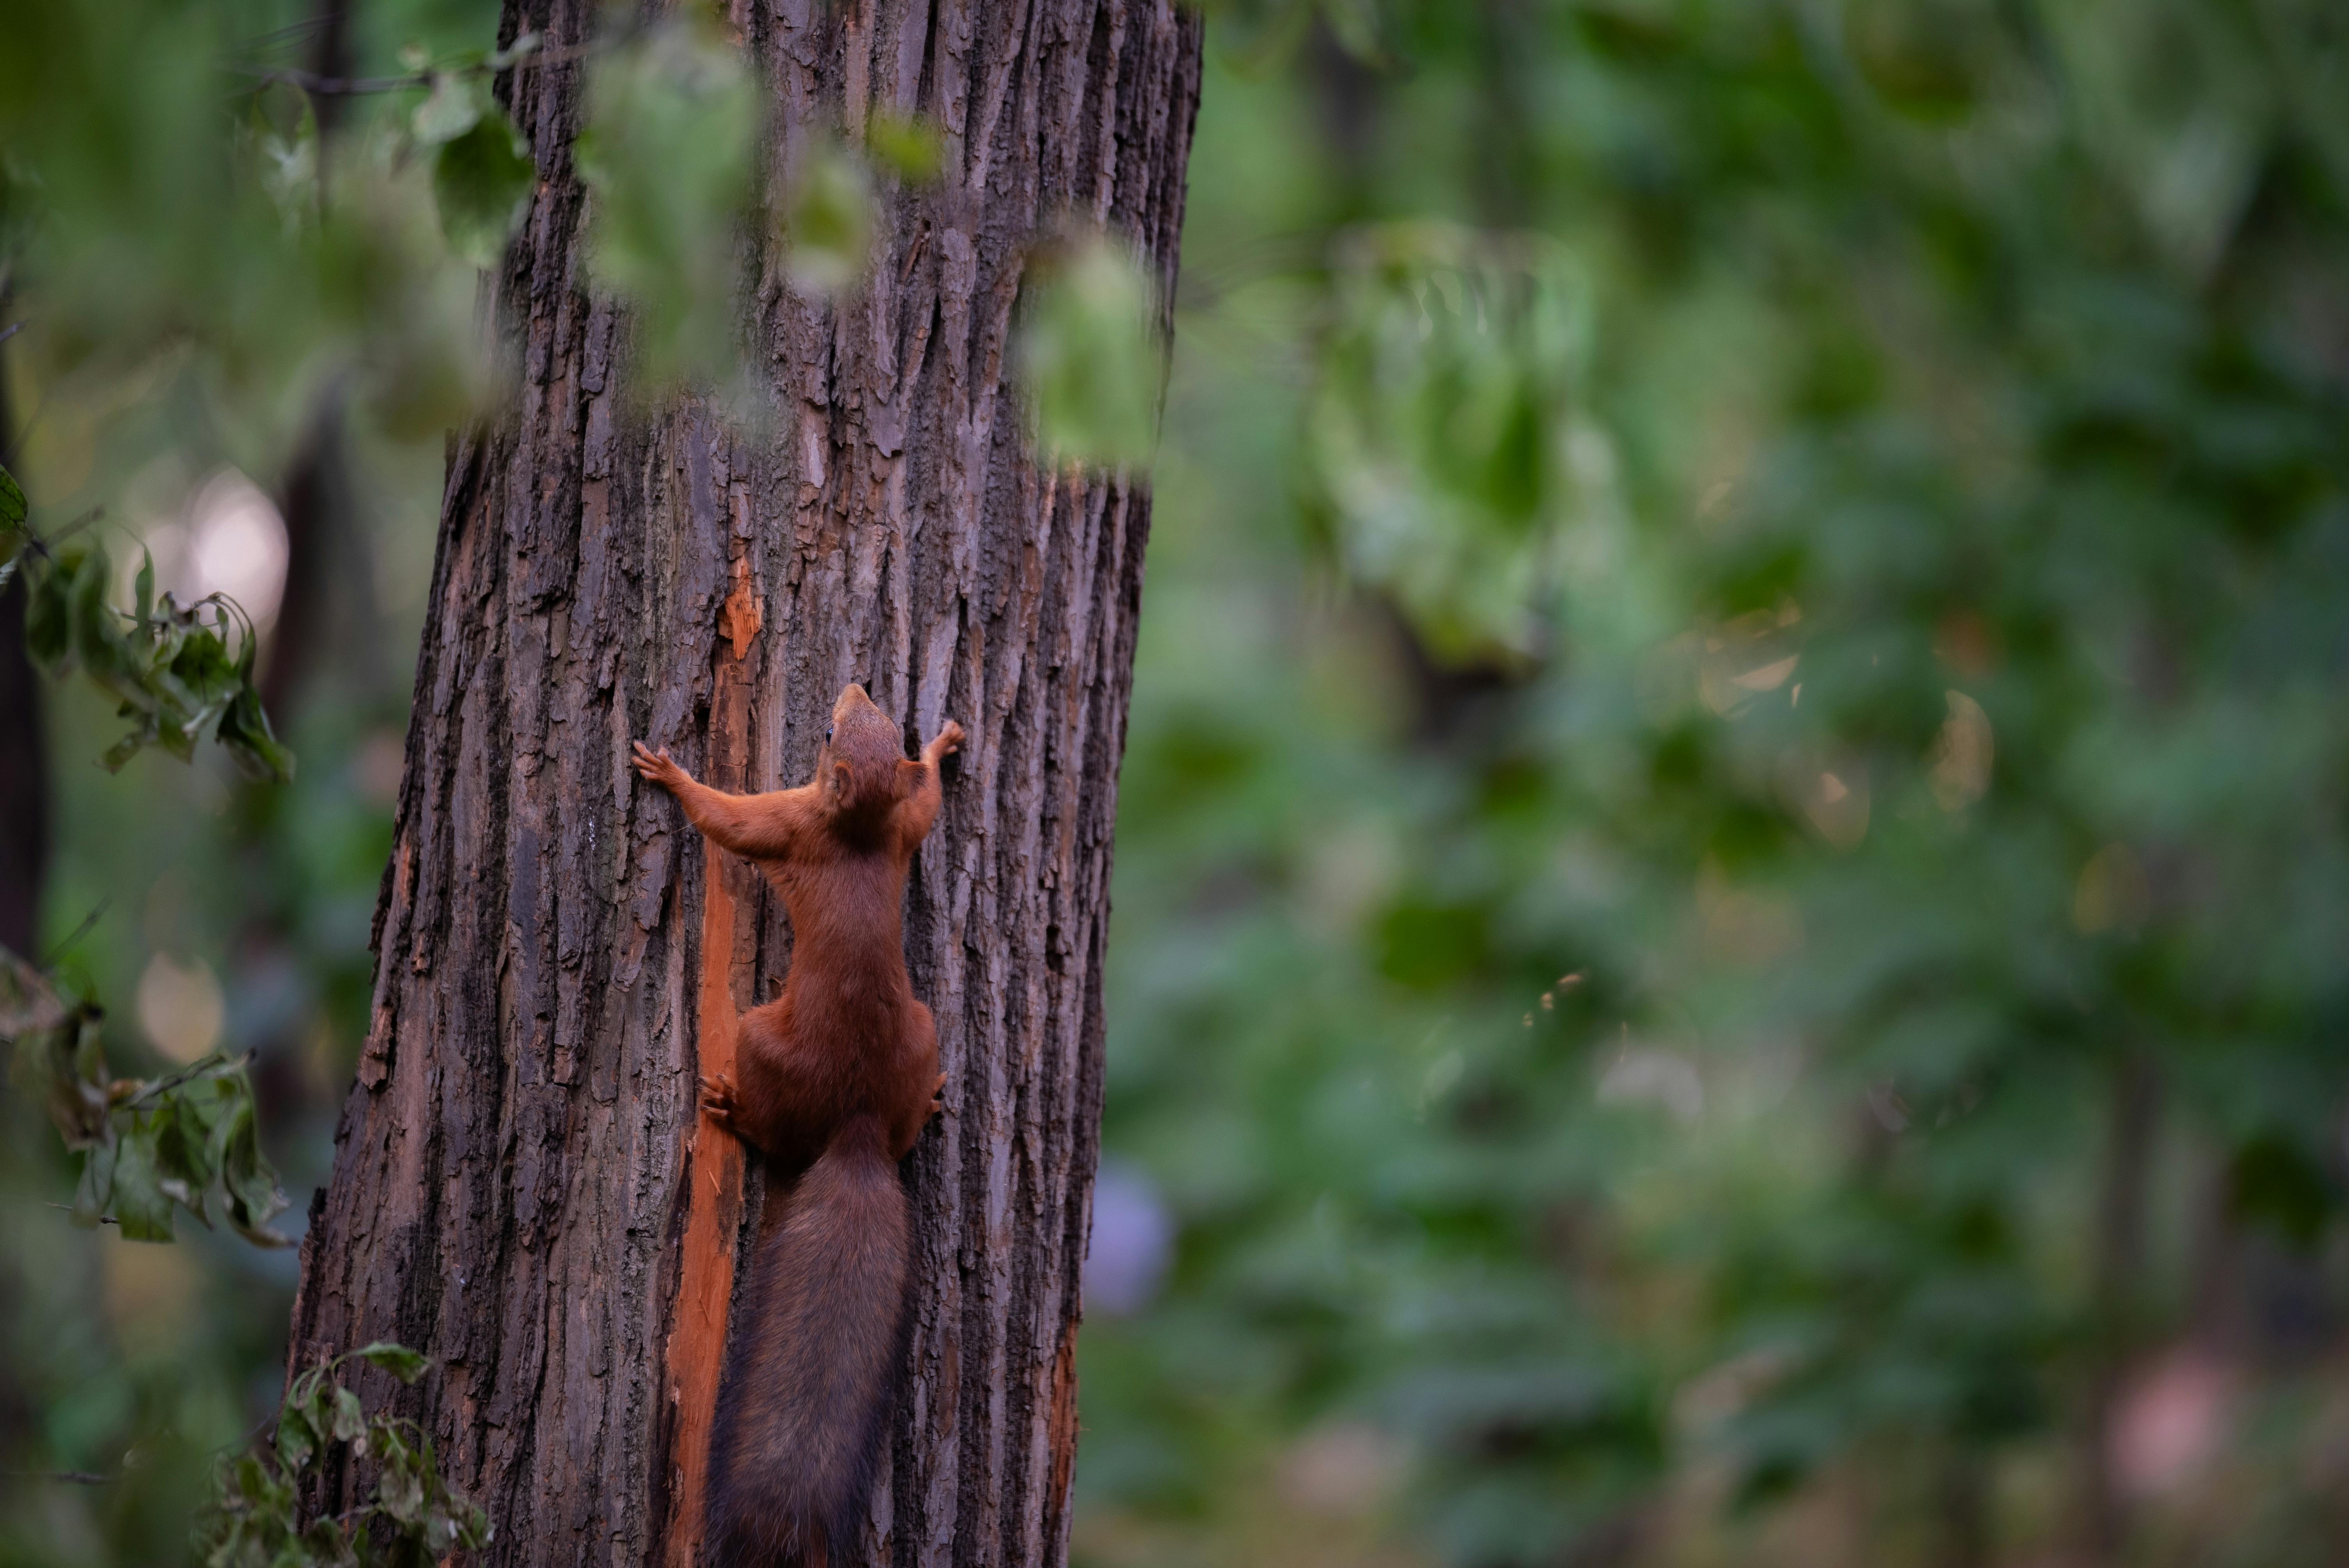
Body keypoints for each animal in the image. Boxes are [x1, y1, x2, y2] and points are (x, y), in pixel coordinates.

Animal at [633, 683, 964, 1568]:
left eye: (825, 733)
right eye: (875, 721)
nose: (853, 684)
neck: (857, 829)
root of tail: (857, 1130)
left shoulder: (788, 823)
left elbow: (728, 821)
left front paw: (671, 773)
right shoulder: (902, 827)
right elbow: (928, 801)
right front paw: (944, 747)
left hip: (758, 1035)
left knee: (775, 1132)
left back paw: (730, 1109)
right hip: (923, 1030)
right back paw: (929, 1101)